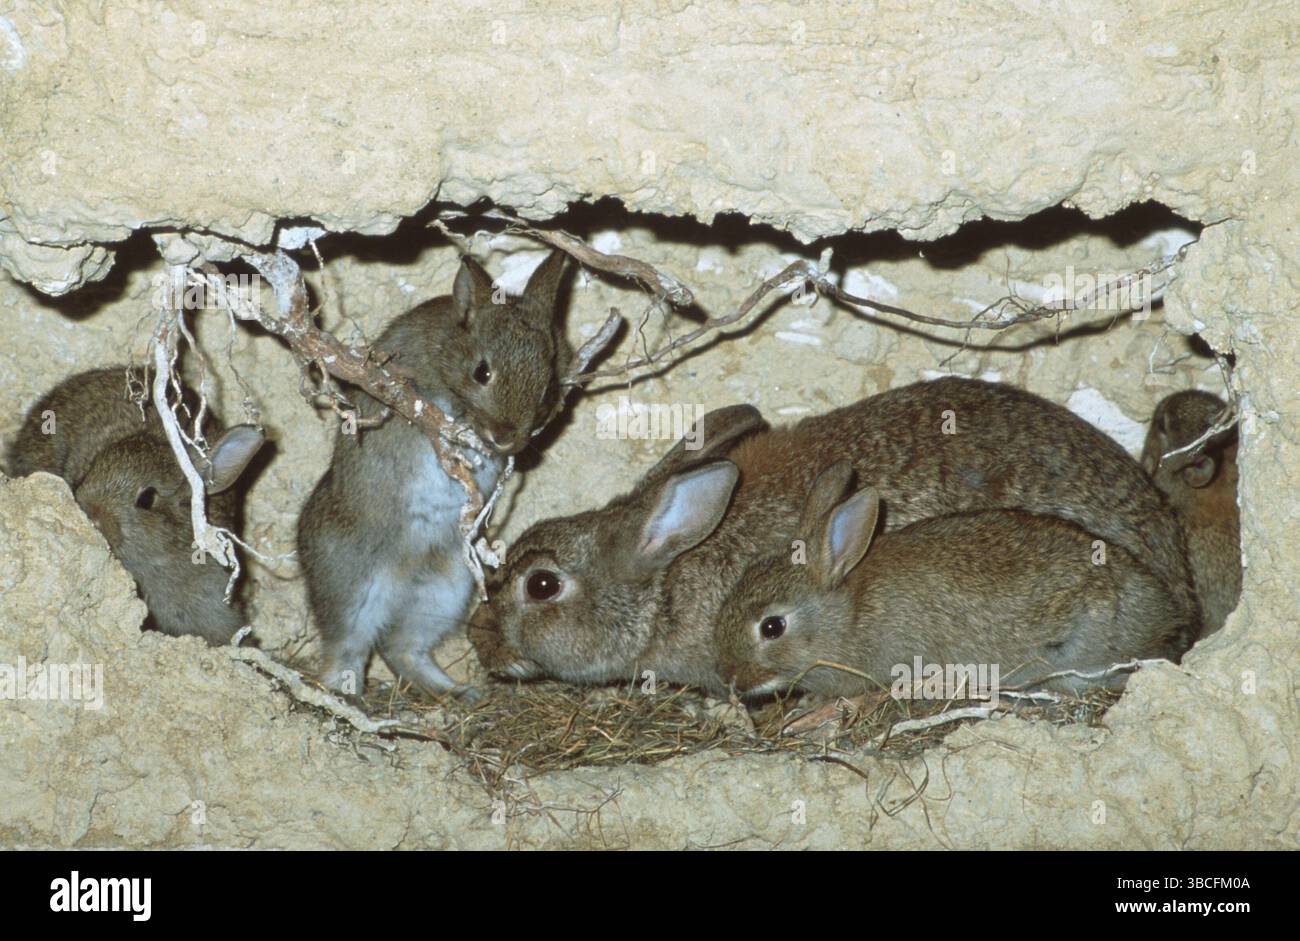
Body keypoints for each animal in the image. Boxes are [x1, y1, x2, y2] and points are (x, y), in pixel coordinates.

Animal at [297, 250, 574, 700]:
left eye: (548, 384)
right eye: (482, 372)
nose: (506, 439)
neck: (446, 354)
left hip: (445, 590)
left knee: (401, 650)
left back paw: (461, 694)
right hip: (354, 589)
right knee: (345, 652)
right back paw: (347, 698)